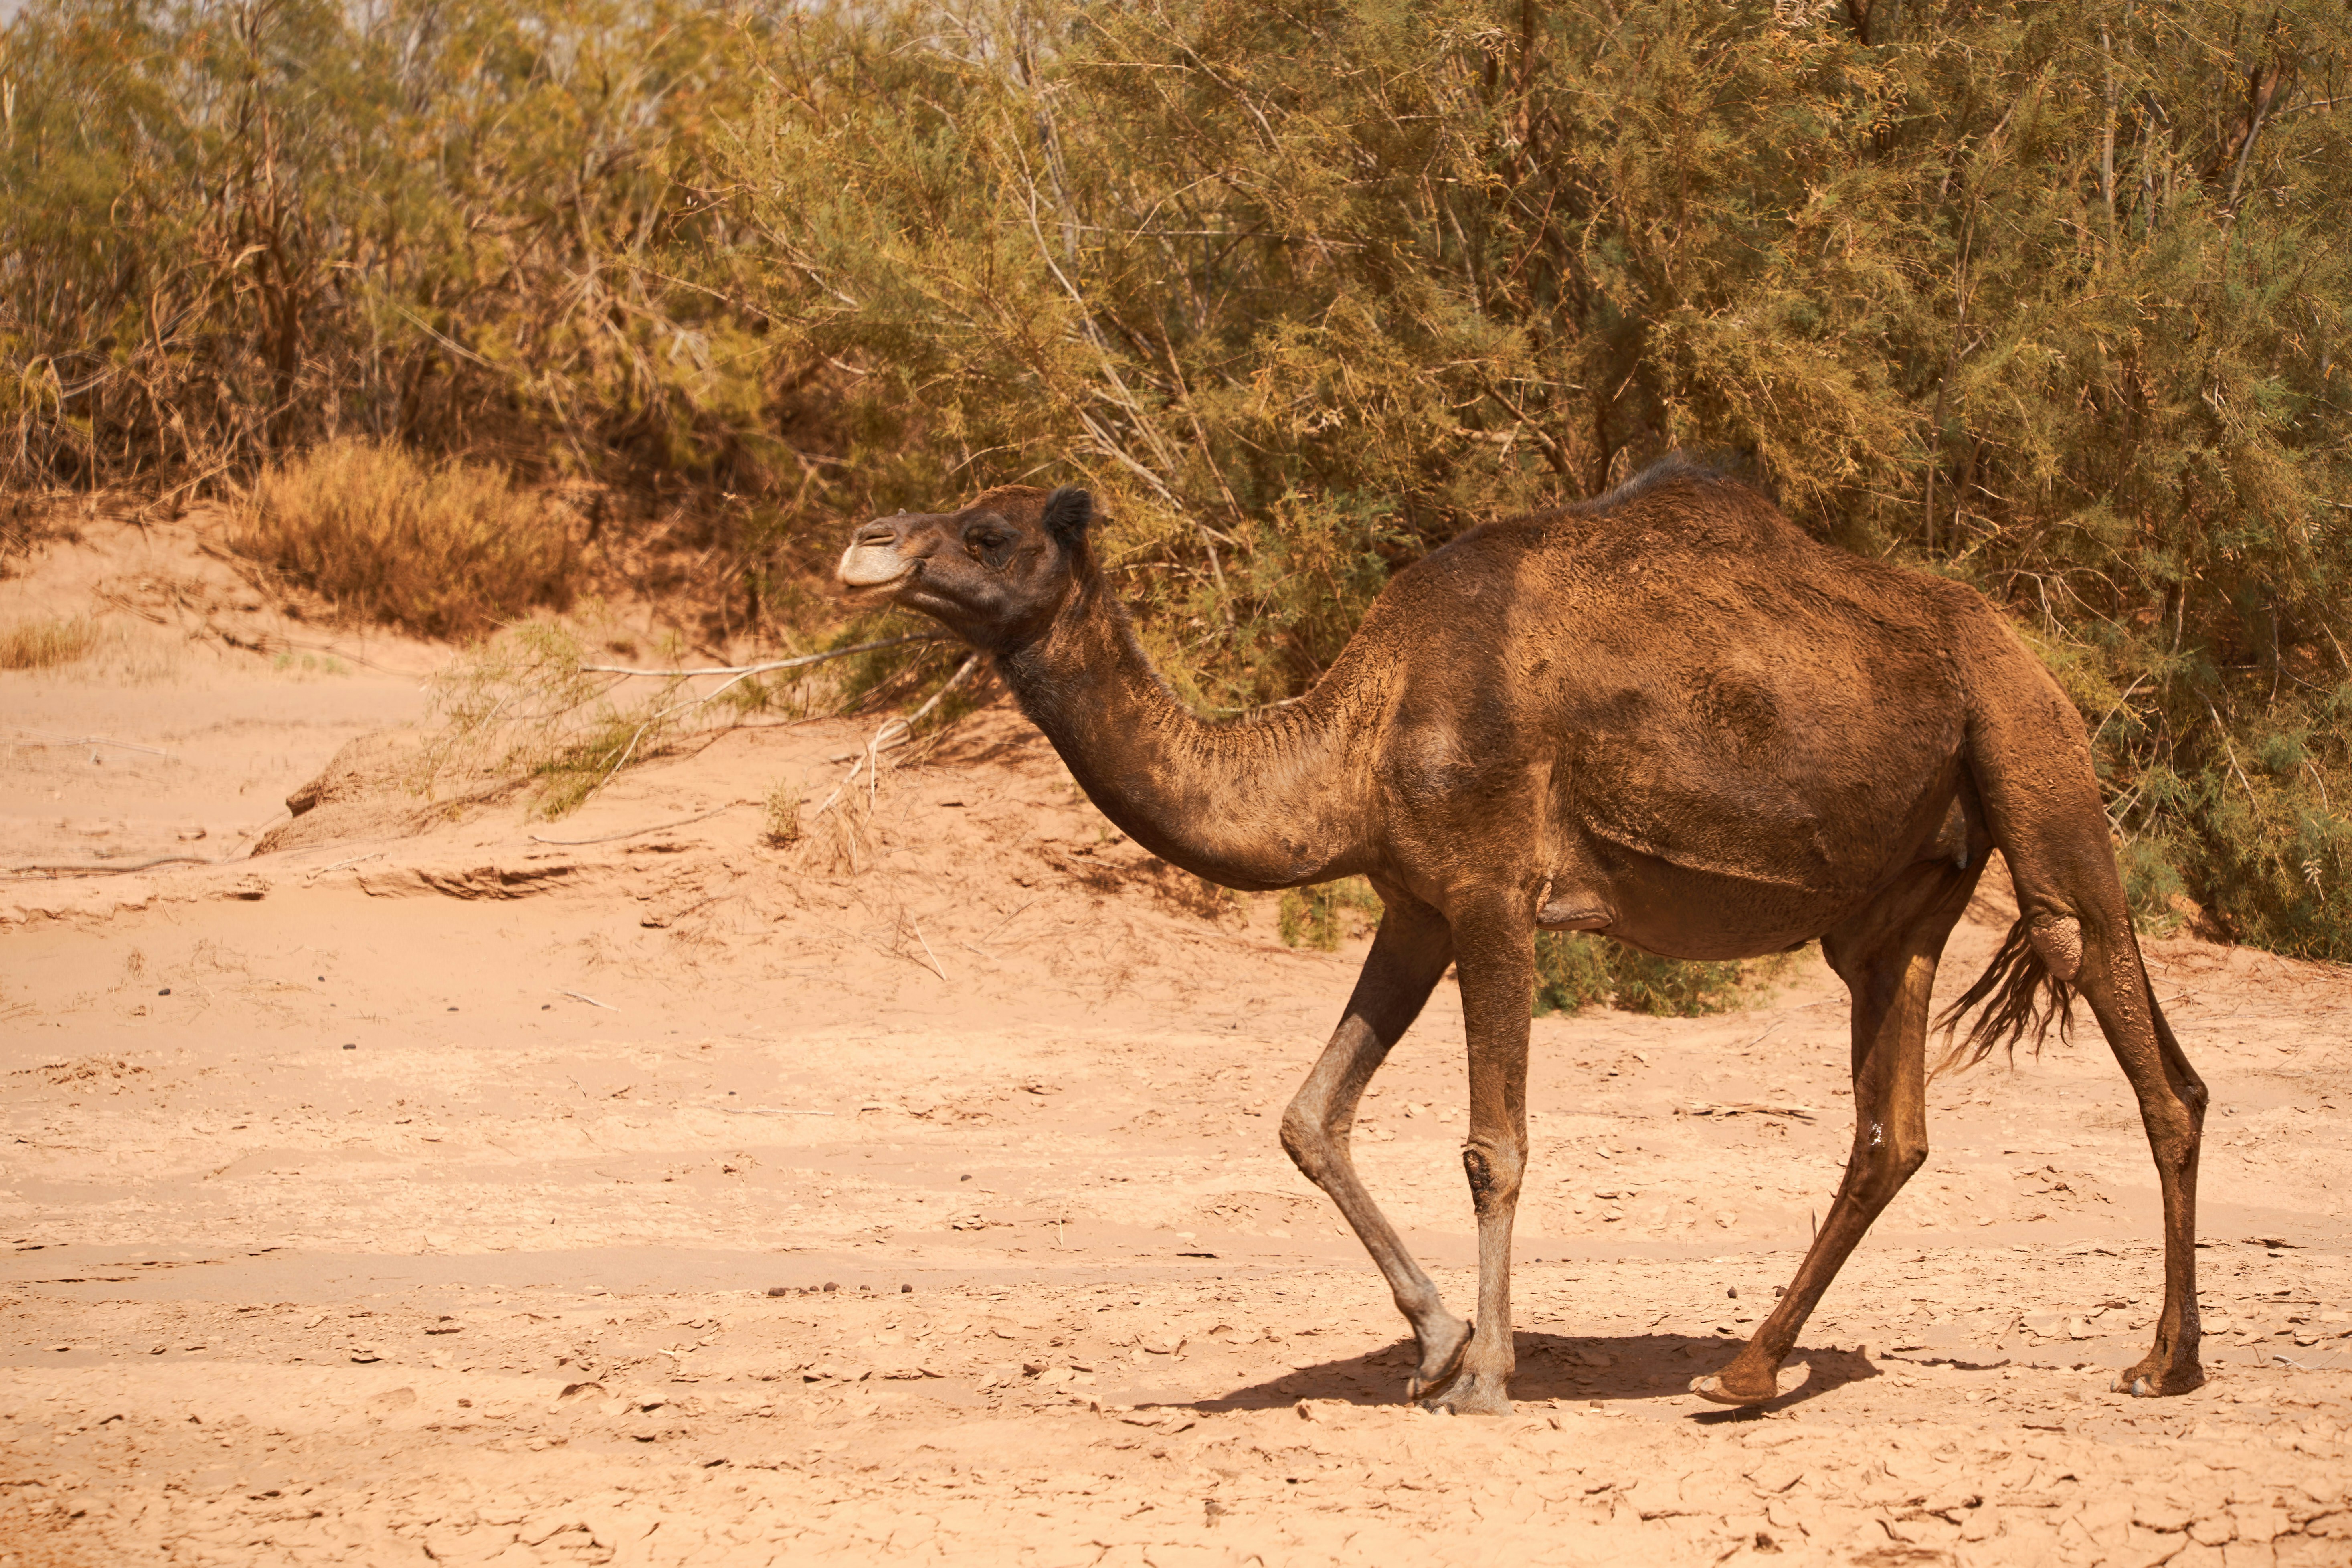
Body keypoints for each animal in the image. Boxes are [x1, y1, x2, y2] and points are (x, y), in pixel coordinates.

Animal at [836, 457, 2207, 1414]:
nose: (865, 543)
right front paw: (1436, 1343)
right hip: (1896, 898)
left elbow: (1491, 1143)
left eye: (987, 531)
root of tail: (2012, 640)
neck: (1356, 727)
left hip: (2029, 752)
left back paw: (2159, 1361)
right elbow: (1308, 1114)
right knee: (1892, 1127)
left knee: (2132, 1027)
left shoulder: (1495, 888)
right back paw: (1743, 1372)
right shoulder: (1414, 902)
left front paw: (1487, 1372)